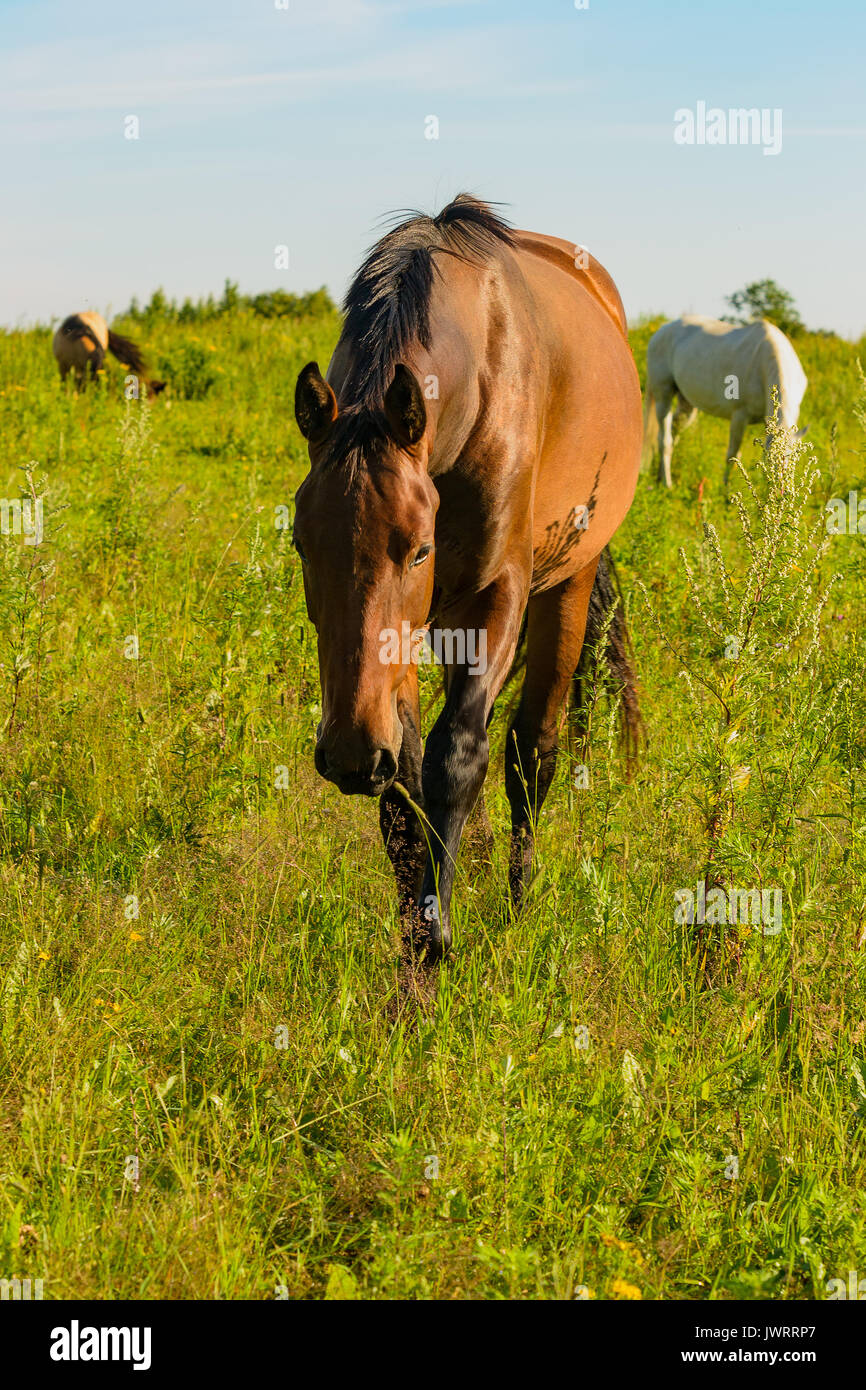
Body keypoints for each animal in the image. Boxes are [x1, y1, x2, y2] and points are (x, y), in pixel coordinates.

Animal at [292, 194, 643, 965]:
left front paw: (437, 932)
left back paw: (517, 899)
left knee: (530, 753)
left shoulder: (494, 597)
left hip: (566, 586)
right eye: (301, 545)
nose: (348, 756)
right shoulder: (398, 648)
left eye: (419, 550)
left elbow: (456, 756)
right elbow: (405, 779)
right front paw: (414, 928)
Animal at [642, 315, 807, 488]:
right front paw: (725, 490)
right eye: (770, 461)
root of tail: (660, 332)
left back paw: (660, 476)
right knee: (664, 440)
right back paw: (667, 484)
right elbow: (733, 455)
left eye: (794, 461)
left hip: (686, 403)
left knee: (673, 432)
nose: (780, 491)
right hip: (663, 396)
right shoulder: (740, 416)